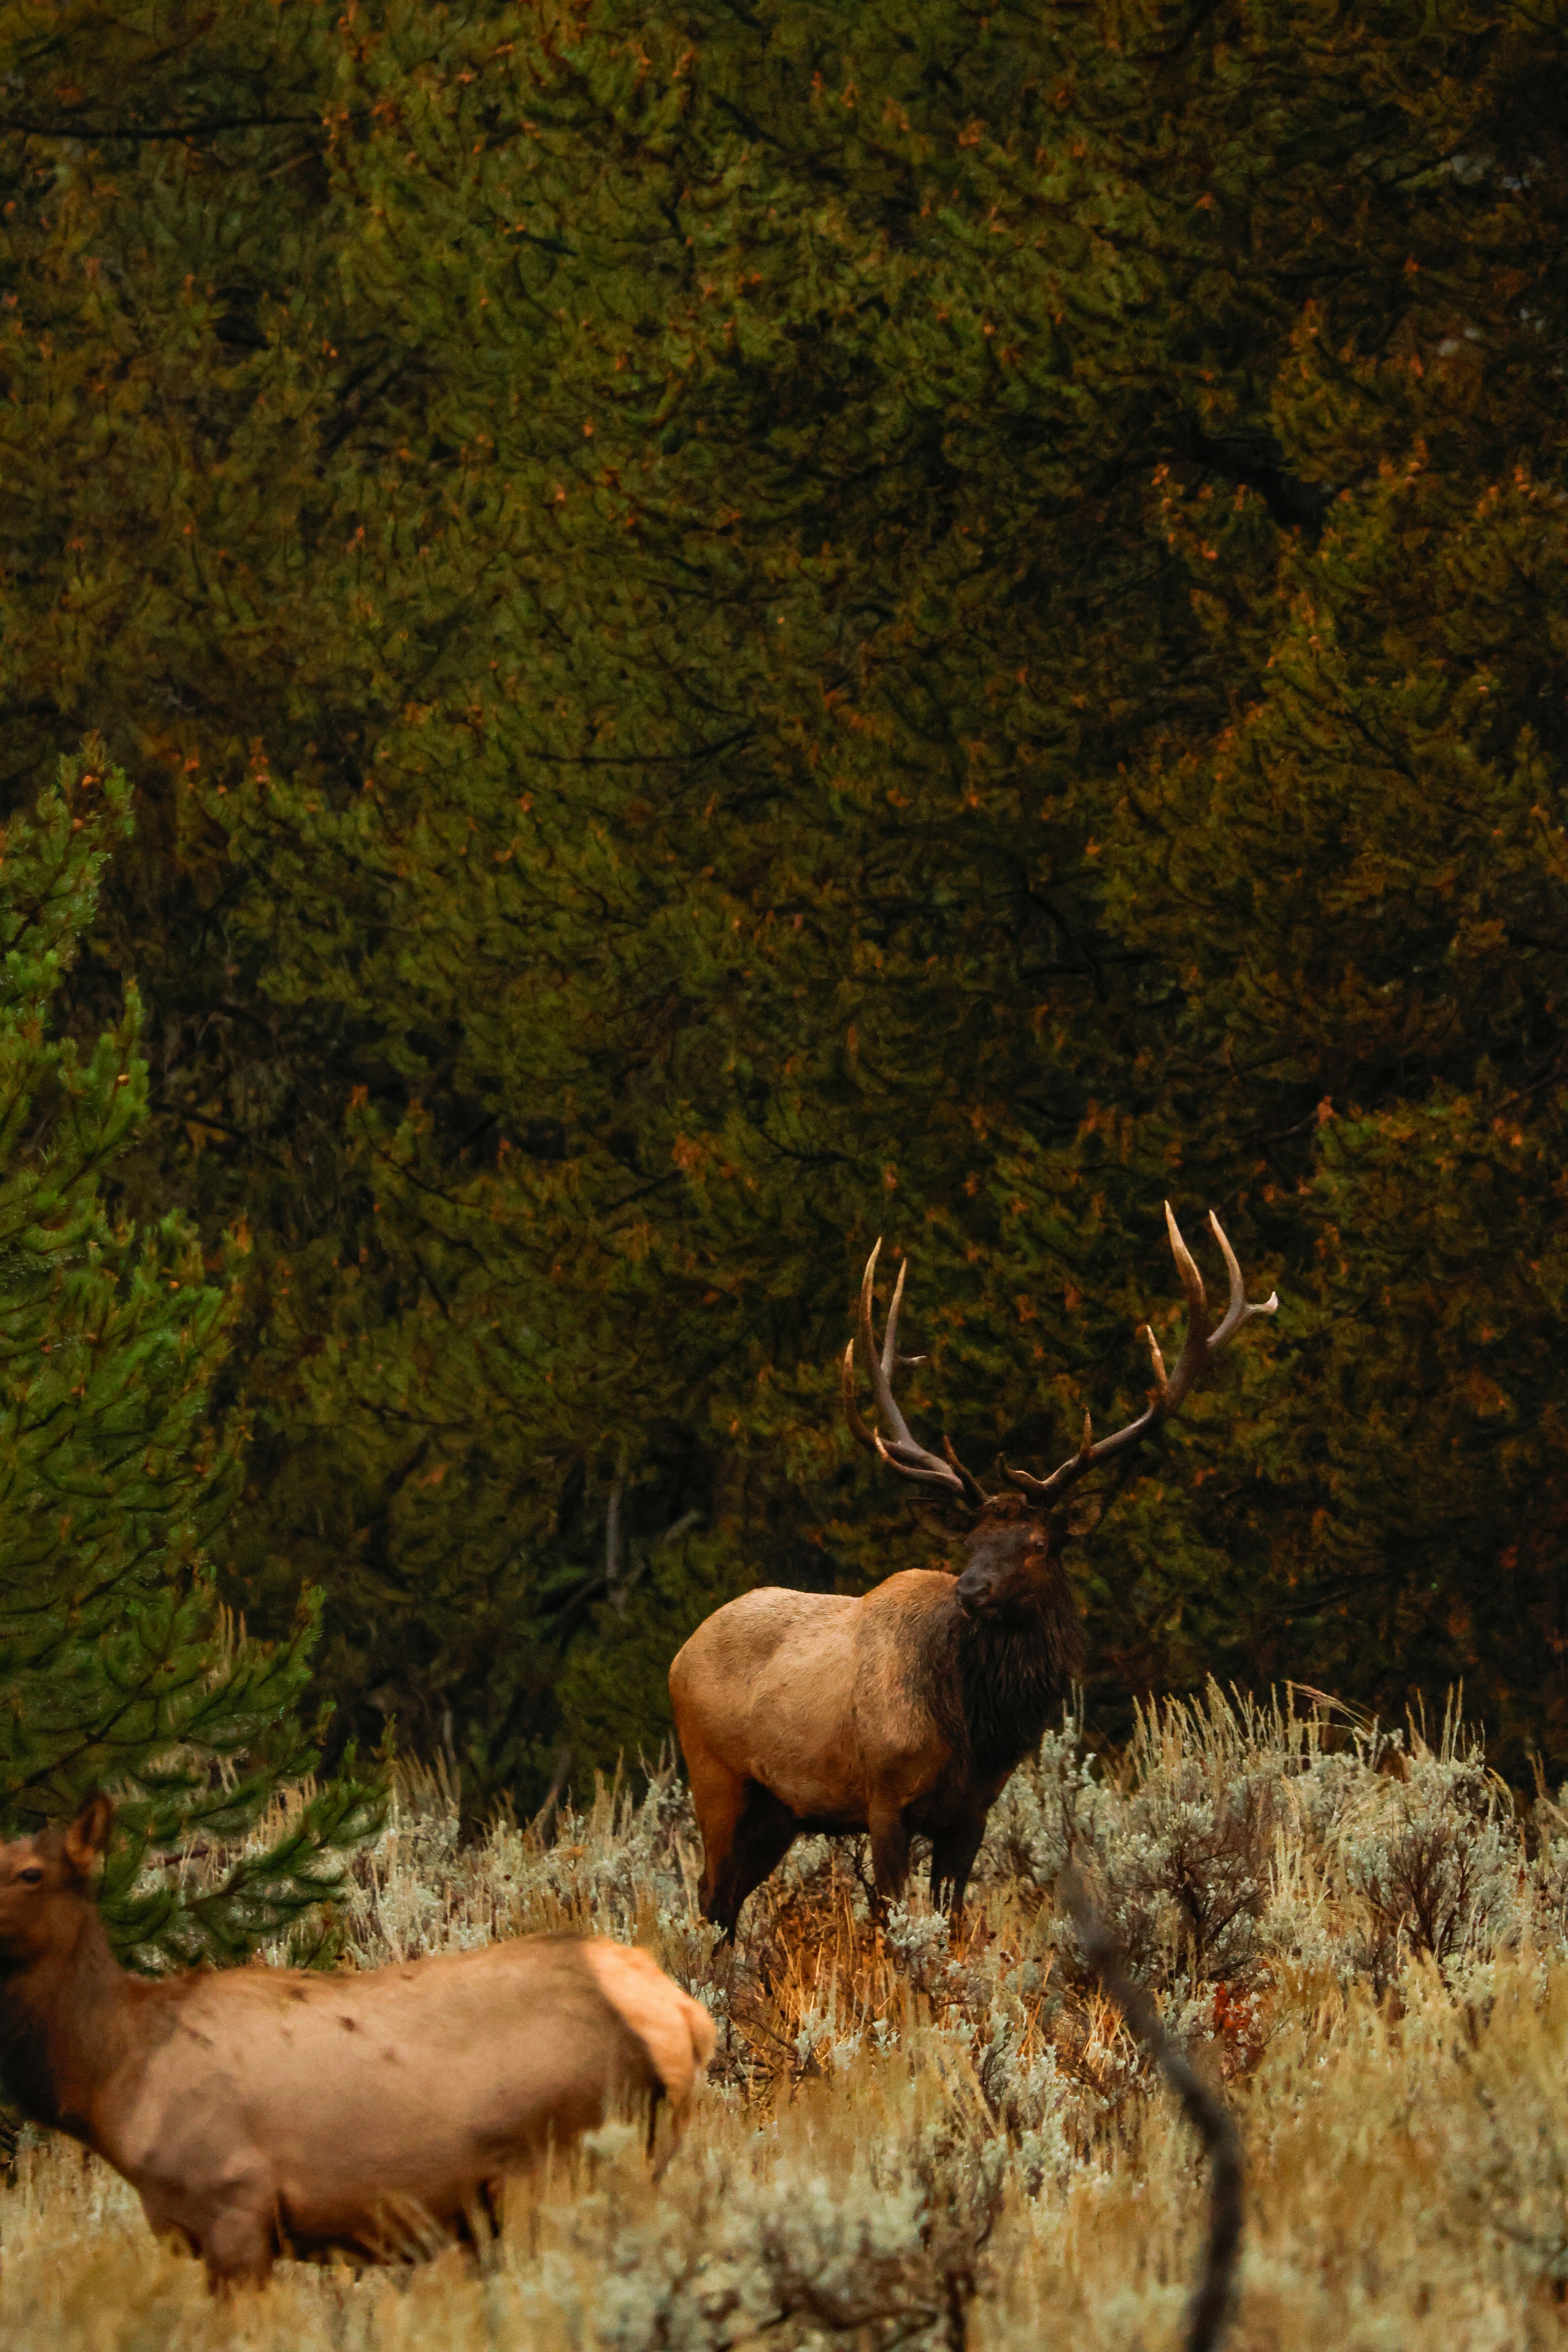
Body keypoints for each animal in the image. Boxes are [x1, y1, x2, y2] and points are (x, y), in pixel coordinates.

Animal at [669, 1206, 1276, 1939]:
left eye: (1039, 1542)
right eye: (972, 1541)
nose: (970, 1590)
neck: (975, 1734)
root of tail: (680, 1653)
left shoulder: (972, 1815)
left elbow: (951, 1919)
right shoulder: (884, 1798)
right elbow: (895, 1922)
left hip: (777, 1812)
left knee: (727, 1901)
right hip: (716, 1778)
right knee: (709, 1897)